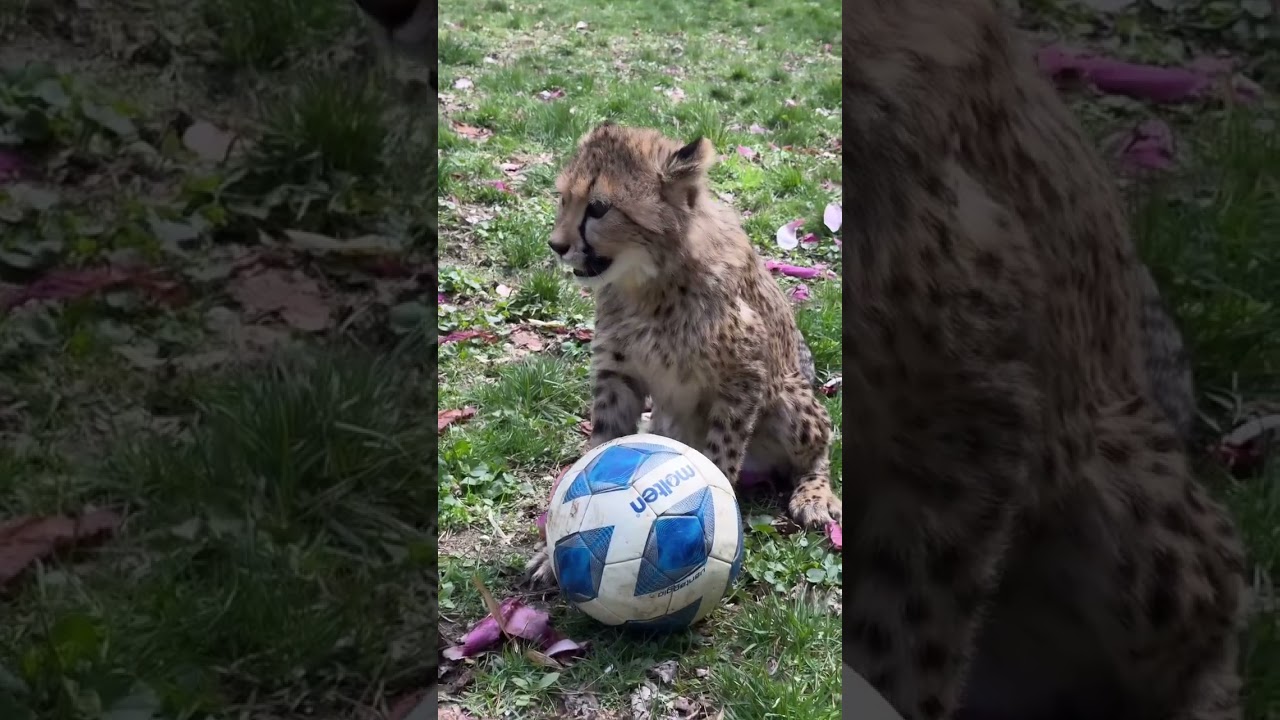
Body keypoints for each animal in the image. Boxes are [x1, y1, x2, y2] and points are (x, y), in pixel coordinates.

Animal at [524, 123, 840, 585]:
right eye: (564, 198)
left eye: (598, 208)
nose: (556, 245)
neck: (650, 282)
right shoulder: (617, 375)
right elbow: (602, 448)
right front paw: (554, 555)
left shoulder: (744, 378)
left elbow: (720, 456)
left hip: (787, 398)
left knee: (822, 444)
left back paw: (815, 495)